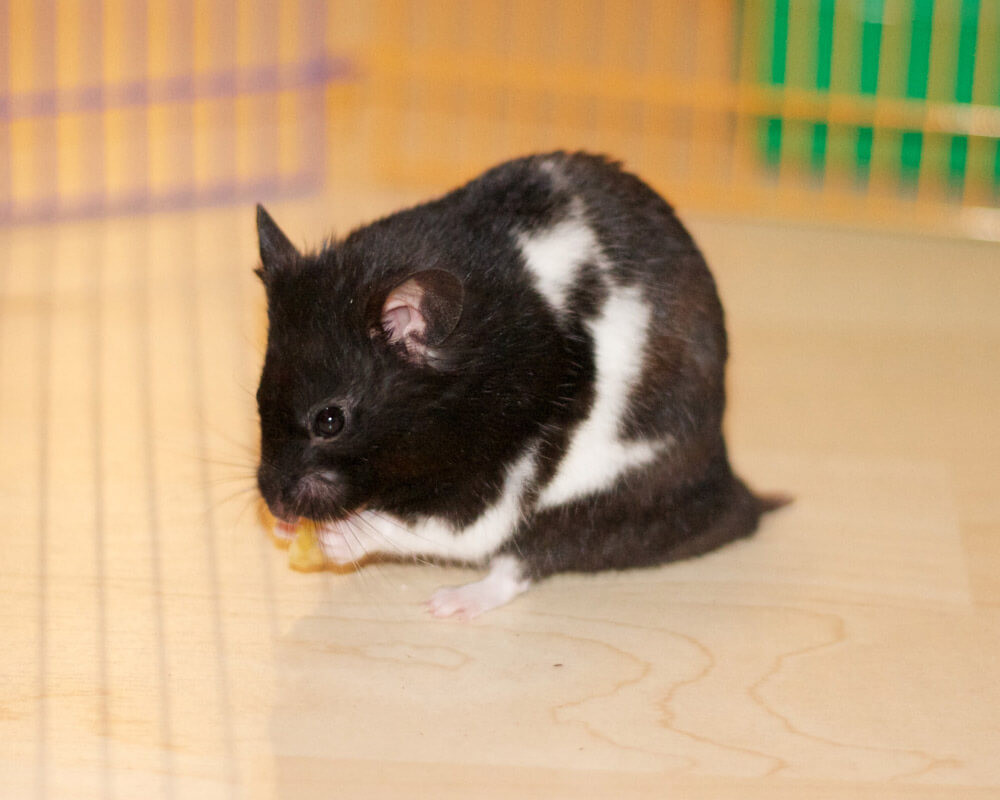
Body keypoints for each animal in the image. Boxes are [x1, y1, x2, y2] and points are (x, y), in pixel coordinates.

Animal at [254, 152, 787, 619]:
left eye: (330, 421)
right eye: (258, 398)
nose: (273, 504)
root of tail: (723, 481)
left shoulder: (499, 479)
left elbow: (442, 527)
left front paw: (332, 537)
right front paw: (285, 532)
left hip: (594, 502)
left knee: (526, 560)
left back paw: (450, 604)